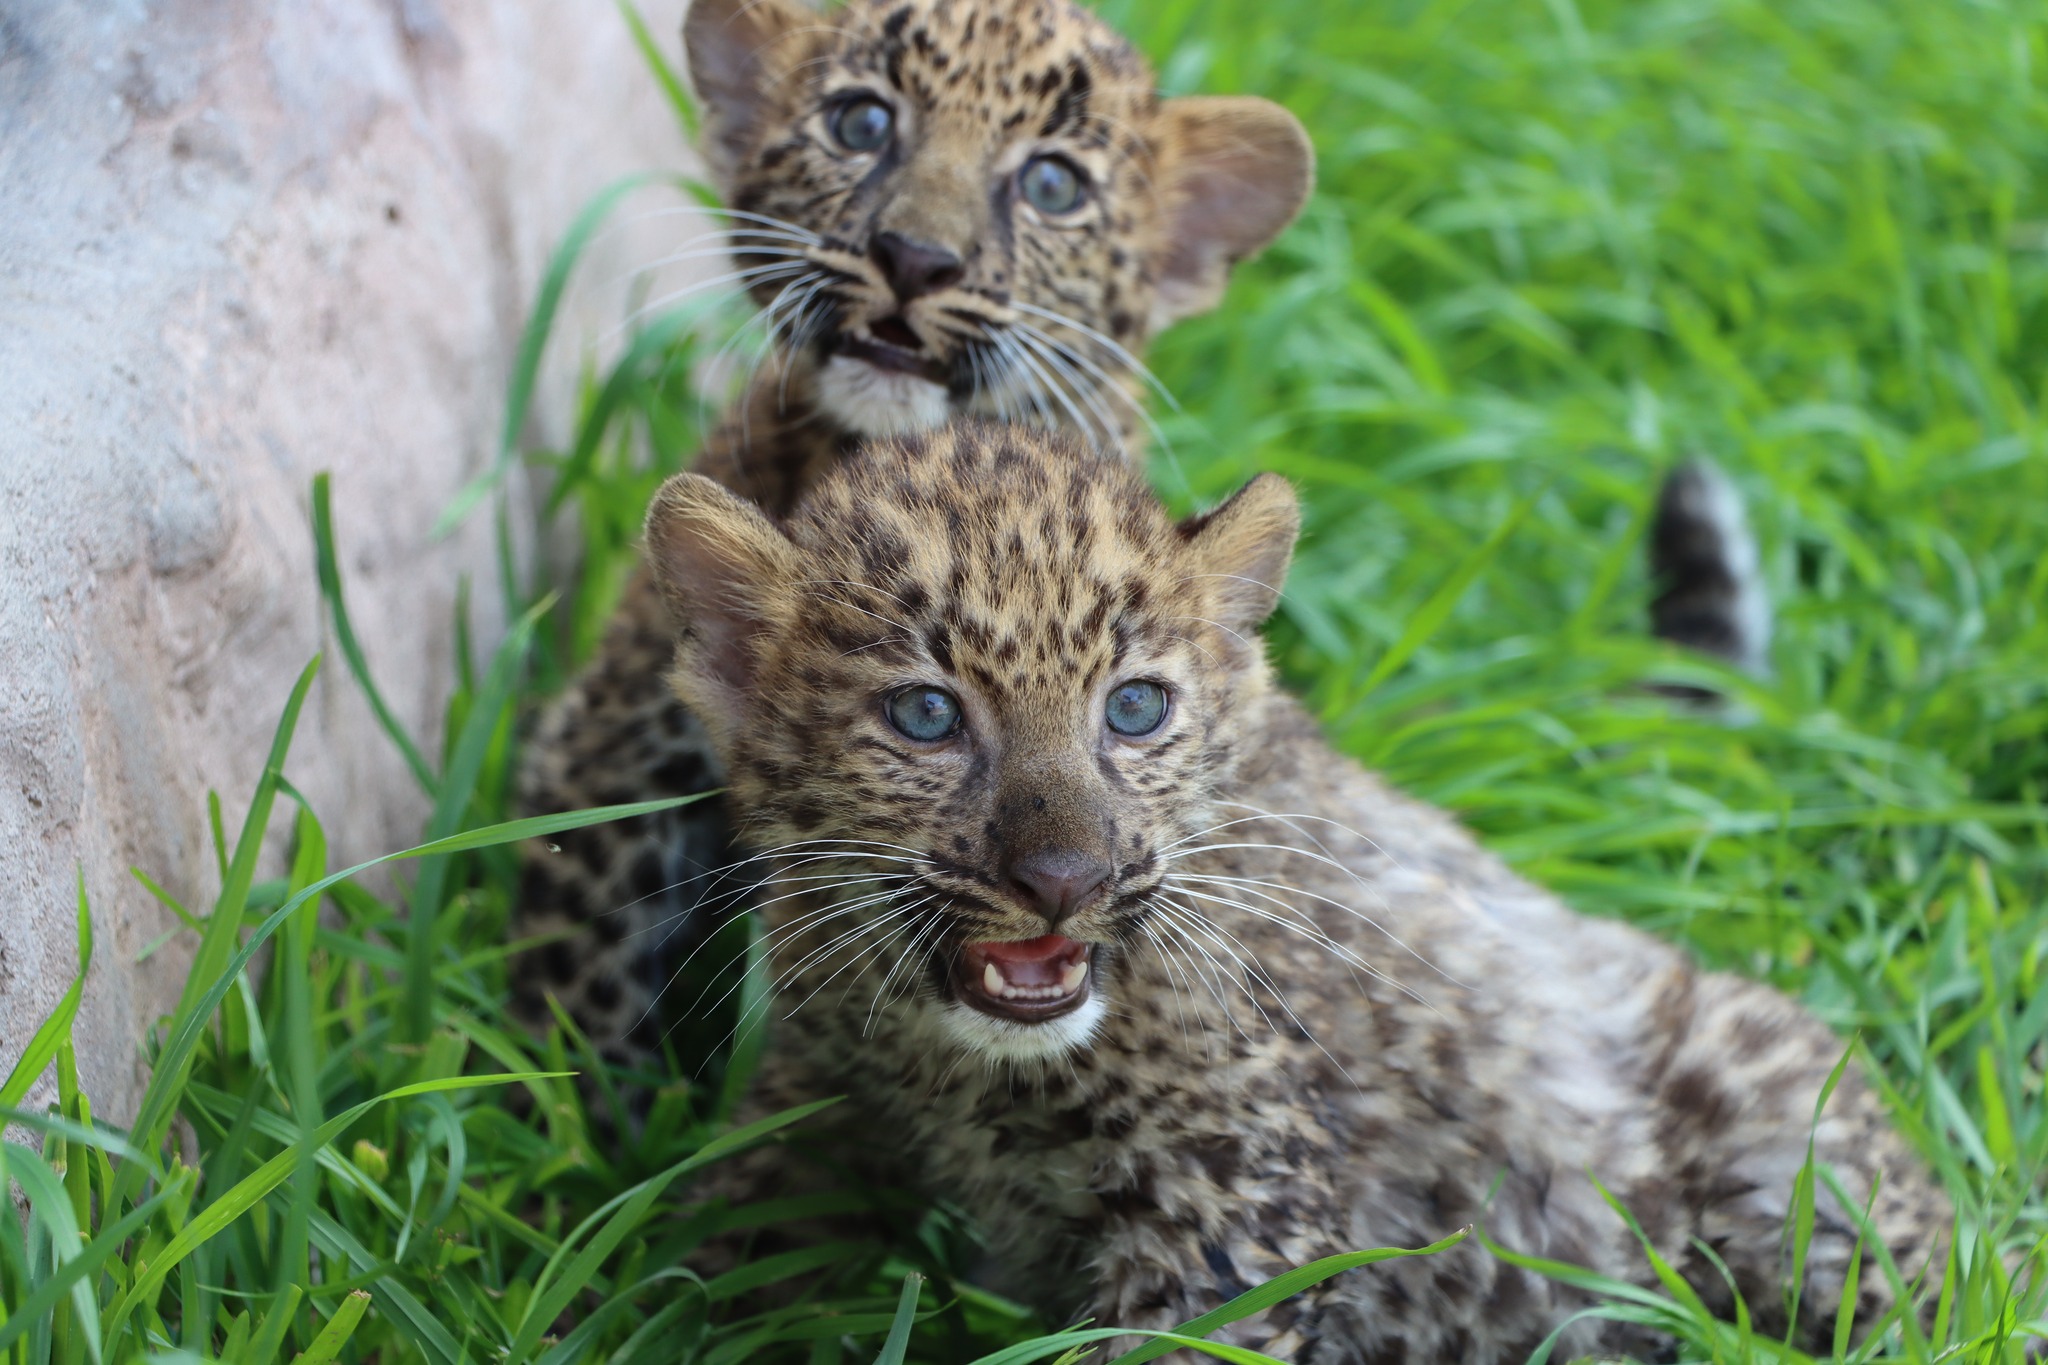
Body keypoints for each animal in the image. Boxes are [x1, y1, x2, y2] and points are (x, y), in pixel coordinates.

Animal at [636, 418, 1949, 1362]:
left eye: (1134, 708)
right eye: (924, 716)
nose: (1065, 880)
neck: (953, 1063)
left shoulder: (1225, 1201)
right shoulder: (813, 1101)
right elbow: (714, 1255)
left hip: (1791, 1159)